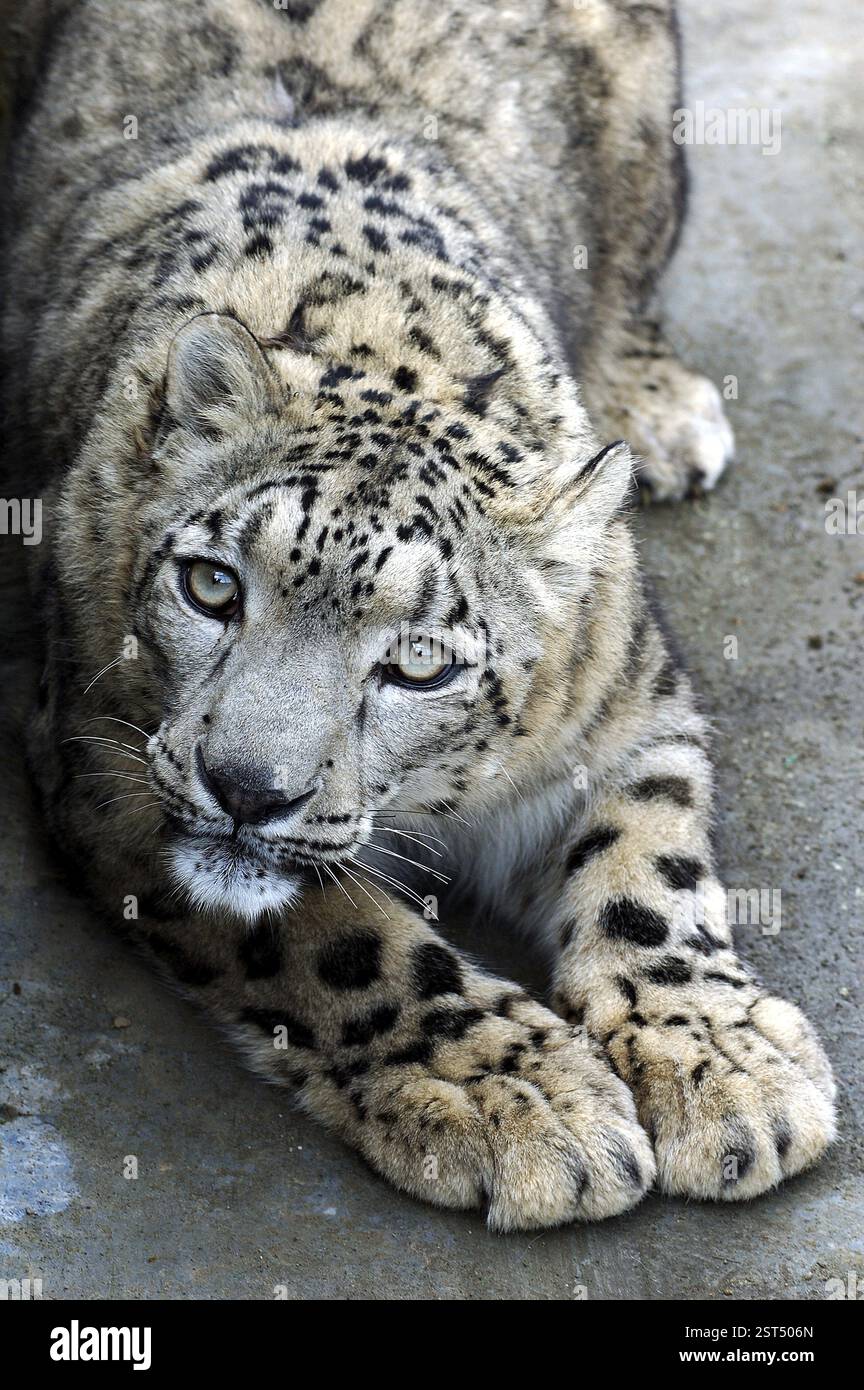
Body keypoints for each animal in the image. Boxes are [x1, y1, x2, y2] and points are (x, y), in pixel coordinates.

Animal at [0, 0, 835, 1231]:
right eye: (212, 586)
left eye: (422, 662)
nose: (246, 789)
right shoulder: (102, 755)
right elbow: (335, 943)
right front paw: (526, 1103)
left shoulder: (628, 708)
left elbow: (649, 867)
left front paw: (726, 1064)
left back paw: (658, 409)